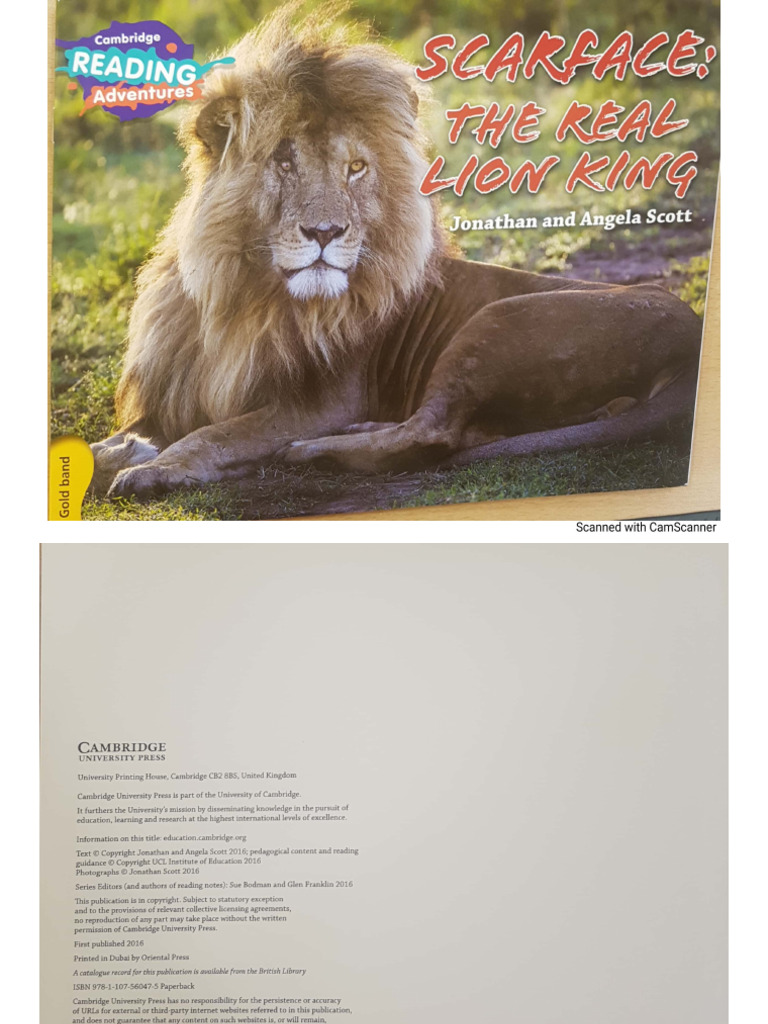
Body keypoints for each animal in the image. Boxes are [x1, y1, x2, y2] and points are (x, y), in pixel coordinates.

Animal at [94, 2, 702, 500]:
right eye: (283, 161)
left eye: (356, 167)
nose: (325, 231)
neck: (240, 299)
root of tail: (692, 340)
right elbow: (117, 439)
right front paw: (117, 455)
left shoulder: (322, 401)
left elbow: (217, 433)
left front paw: (156, 469)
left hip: (494, 323)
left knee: (433, 434)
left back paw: (317, 451)